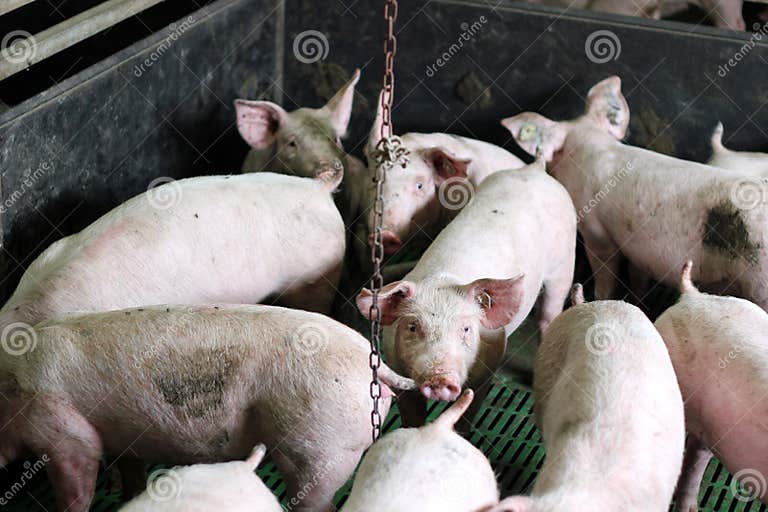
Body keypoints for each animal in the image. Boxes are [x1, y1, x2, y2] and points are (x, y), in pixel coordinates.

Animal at [356, 161, 576, 427]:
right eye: (412, 327)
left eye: (466, 329)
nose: (439, 378)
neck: (443, 281)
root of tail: (535, 168)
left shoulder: (487, 369)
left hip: (563, 265)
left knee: (549, 312)